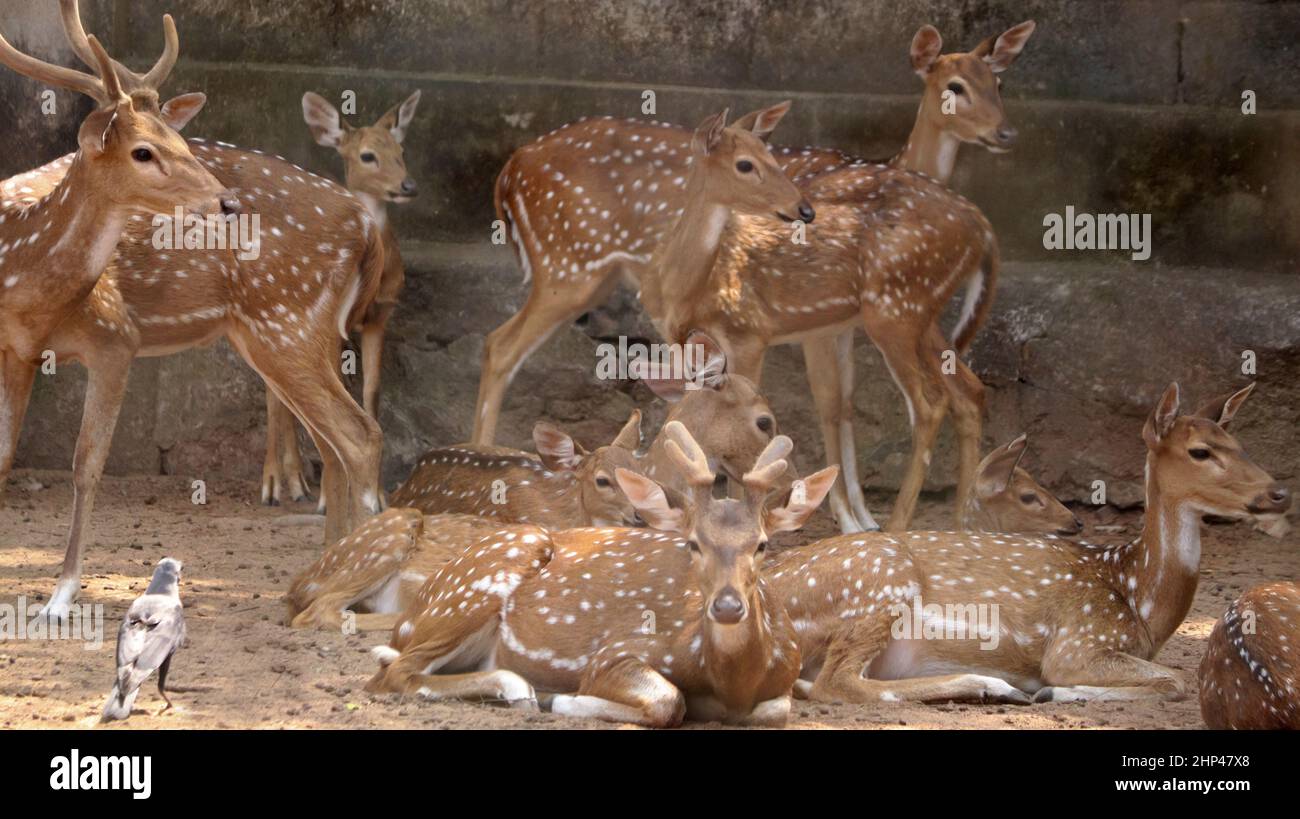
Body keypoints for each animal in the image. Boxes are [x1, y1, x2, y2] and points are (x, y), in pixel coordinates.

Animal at [2, 1, 388, 620]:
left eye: (180, 143)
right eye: (144, 150)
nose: (225, 201)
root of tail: (367, 227)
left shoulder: (115, 336)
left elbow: (86, 463)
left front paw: (59, 600)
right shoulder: (14, 348)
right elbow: (5, 458)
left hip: (285, 324)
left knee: (358, 435)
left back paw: (353, 590)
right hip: (298, 333)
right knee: (332, 445)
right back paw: (318, 579)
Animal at [261, 89, 422, 507]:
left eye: (401, 149)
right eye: (367, 155)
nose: (408, 186)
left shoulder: (382, 314)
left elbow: (372, 392)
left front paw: (379, 494)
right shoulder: (335, 322)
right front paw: (329, 497)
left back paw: (296, 482)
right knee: (275, 392)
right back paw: (273, 484)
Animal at [363, 422, 838, 727]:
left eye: (762, 544)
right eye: (693, 543)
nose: (726, 606)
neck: (734, 682)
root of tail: (409, 619)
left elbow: (776, 710)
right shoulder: (616, 652)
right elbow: (668, 701)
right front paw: (565, 700)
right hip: (483, 579)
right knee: (393, 674)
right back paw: (524, 689)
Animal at [473, 21, 1035, 535]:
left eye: (999, 82)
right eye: (954, 86)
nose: (1006, 133)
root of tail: (509, 173)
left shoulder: (831, 324)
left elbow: (839, 405)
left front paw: (855, 517)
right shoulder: (811, 327)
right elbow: (828, 405)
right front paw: (852, 520)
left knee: (966, 391)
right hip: (570, 267)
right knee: (500, 345)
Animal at [762, 383, 1291, 705]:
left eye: (1241, 445)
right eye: (1200, 451)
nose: (1278, 492)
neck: (1136, 597)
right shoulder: (1079, 640)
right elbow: (1177, 680)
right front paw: (1055, 693)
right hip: (880, 582)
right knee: (837, 682)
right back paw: (995, 686)